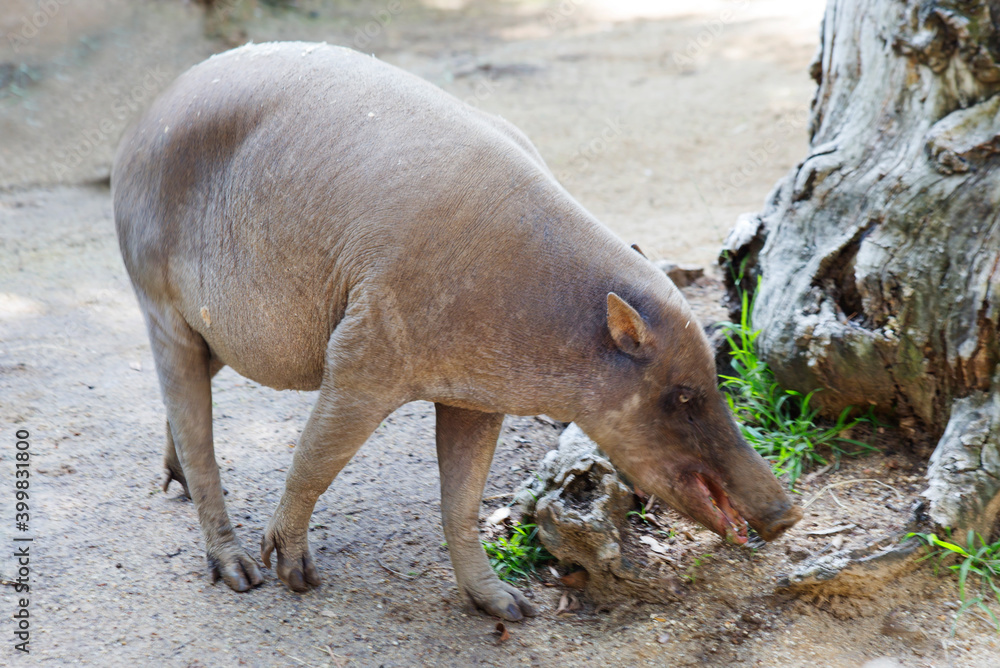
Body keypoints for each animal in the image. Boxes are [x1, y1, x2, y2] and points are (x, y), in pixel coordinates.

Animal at [112, 42, 801, 621]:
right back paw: (239, 573)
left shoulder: (475, 397)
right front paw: (297, 576)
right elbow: (313, 460)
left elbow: (462, 503)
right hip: (160, 307)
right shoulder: (360, 357)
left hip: (217, 337)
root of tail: (143, 120)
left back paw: (176, 482)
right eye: (682, 395)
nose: (789, 512)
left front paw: (511, 610)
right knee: (197, 433)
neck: (549, 316)